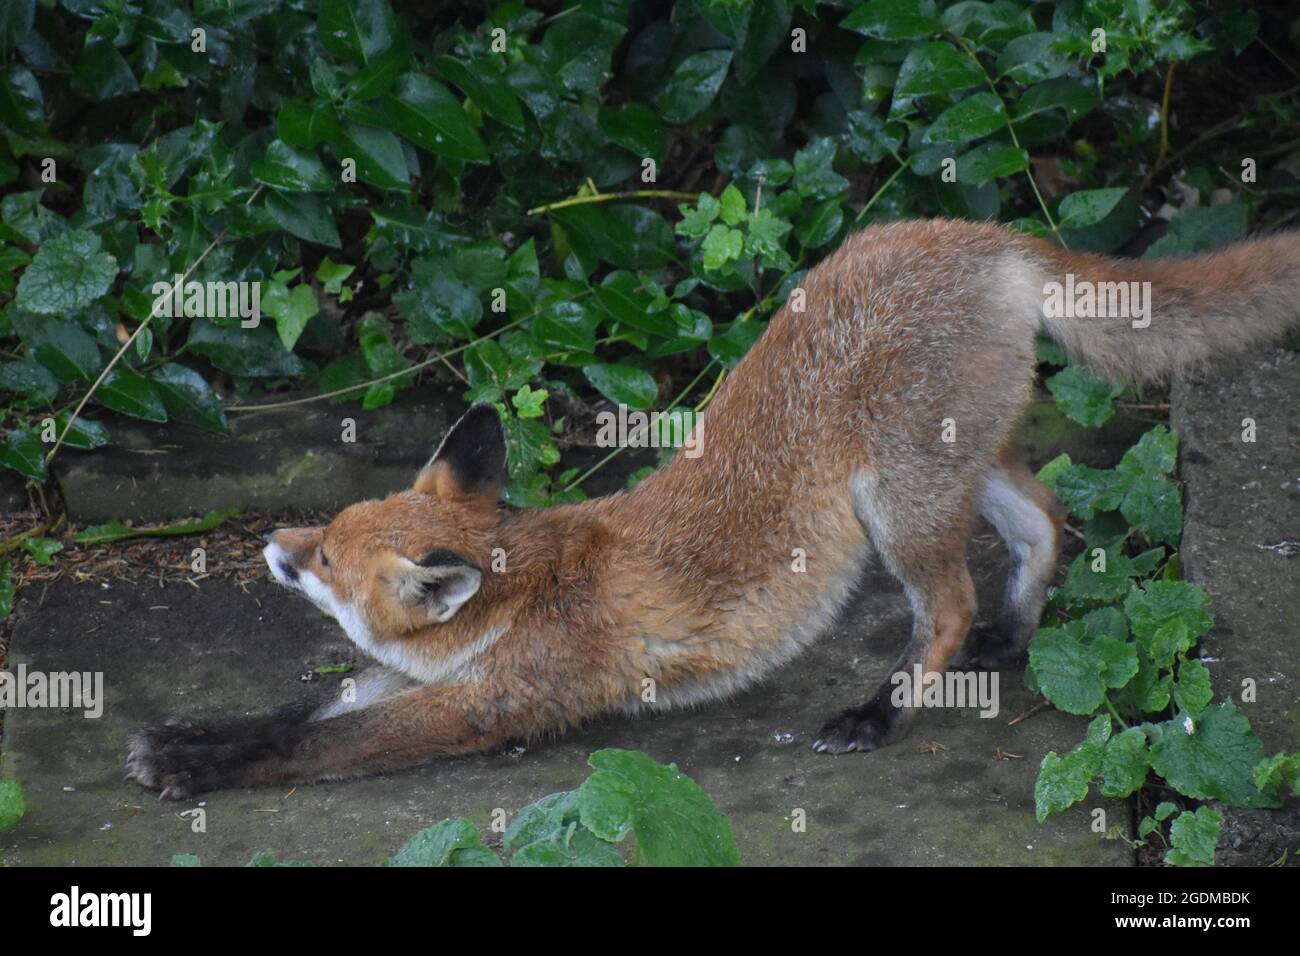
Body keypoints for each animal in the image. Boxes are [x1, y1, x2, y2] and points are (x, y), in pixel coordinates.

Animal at [126, 218, 1300, 799]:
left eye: (323, 561)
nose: (272, 542)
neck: (515, 598)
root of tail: (984, 230)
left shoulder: (489, 704)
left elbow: (320, 748)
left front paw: (199, 771)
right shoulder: (409, 677)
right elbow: (292, 712)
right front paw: (184, 739)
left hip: (897, 502)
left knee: (951, 600)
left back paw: (884, 711)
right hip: (964, 461)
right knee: (1048, 521)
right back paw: (1013, 641)